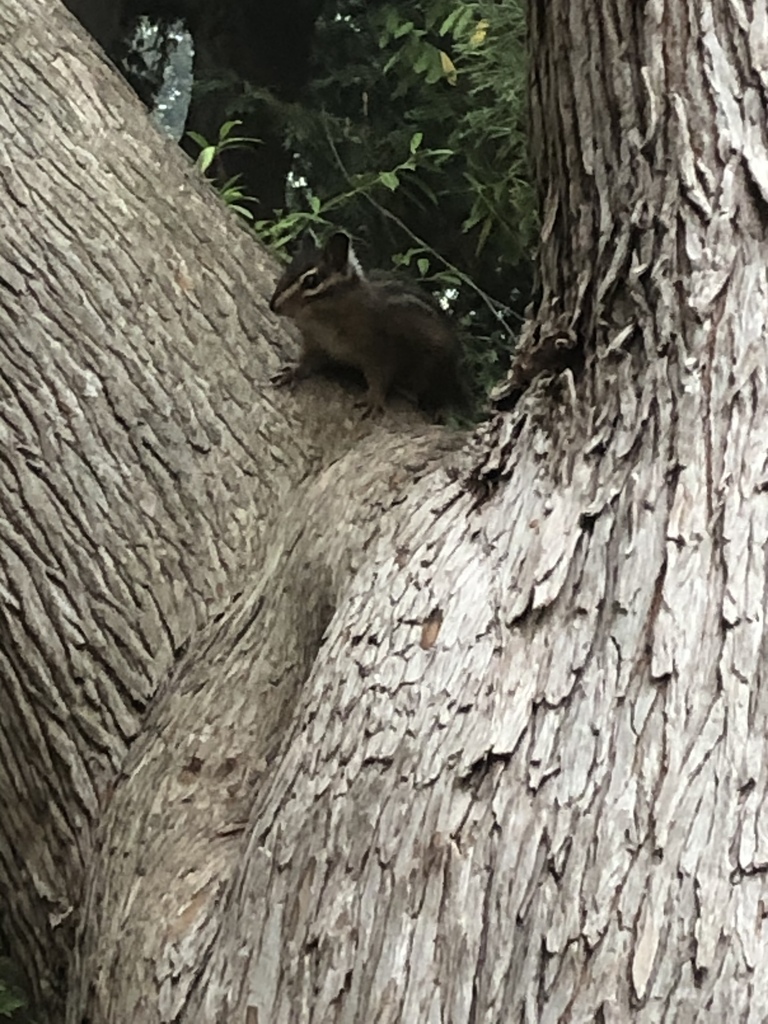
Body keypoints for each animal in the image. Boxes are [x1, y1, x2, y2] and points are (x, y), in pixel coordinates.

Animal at [269, 231, 466, 414]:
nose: (272, 306)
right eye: (289, 268)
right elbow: (307, 360)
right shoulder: (316, 344)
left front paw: (374, 400)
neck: (321, 320)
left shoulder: (381, 350)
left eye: (311, 281)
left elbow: (381, 377)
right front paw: (294, 371)